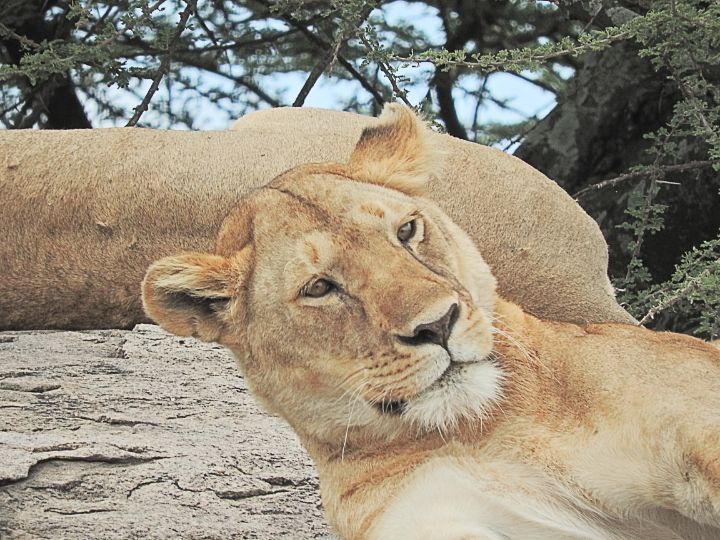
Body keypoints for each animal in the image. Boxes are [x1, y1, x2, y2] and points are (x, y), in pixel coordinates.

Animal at [142, 104, 720, 539]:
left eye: (406, 231)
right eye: (320, 288)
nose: (437, 325)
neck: (479, 428)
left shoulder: (696, 423)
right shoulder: (429, 520)